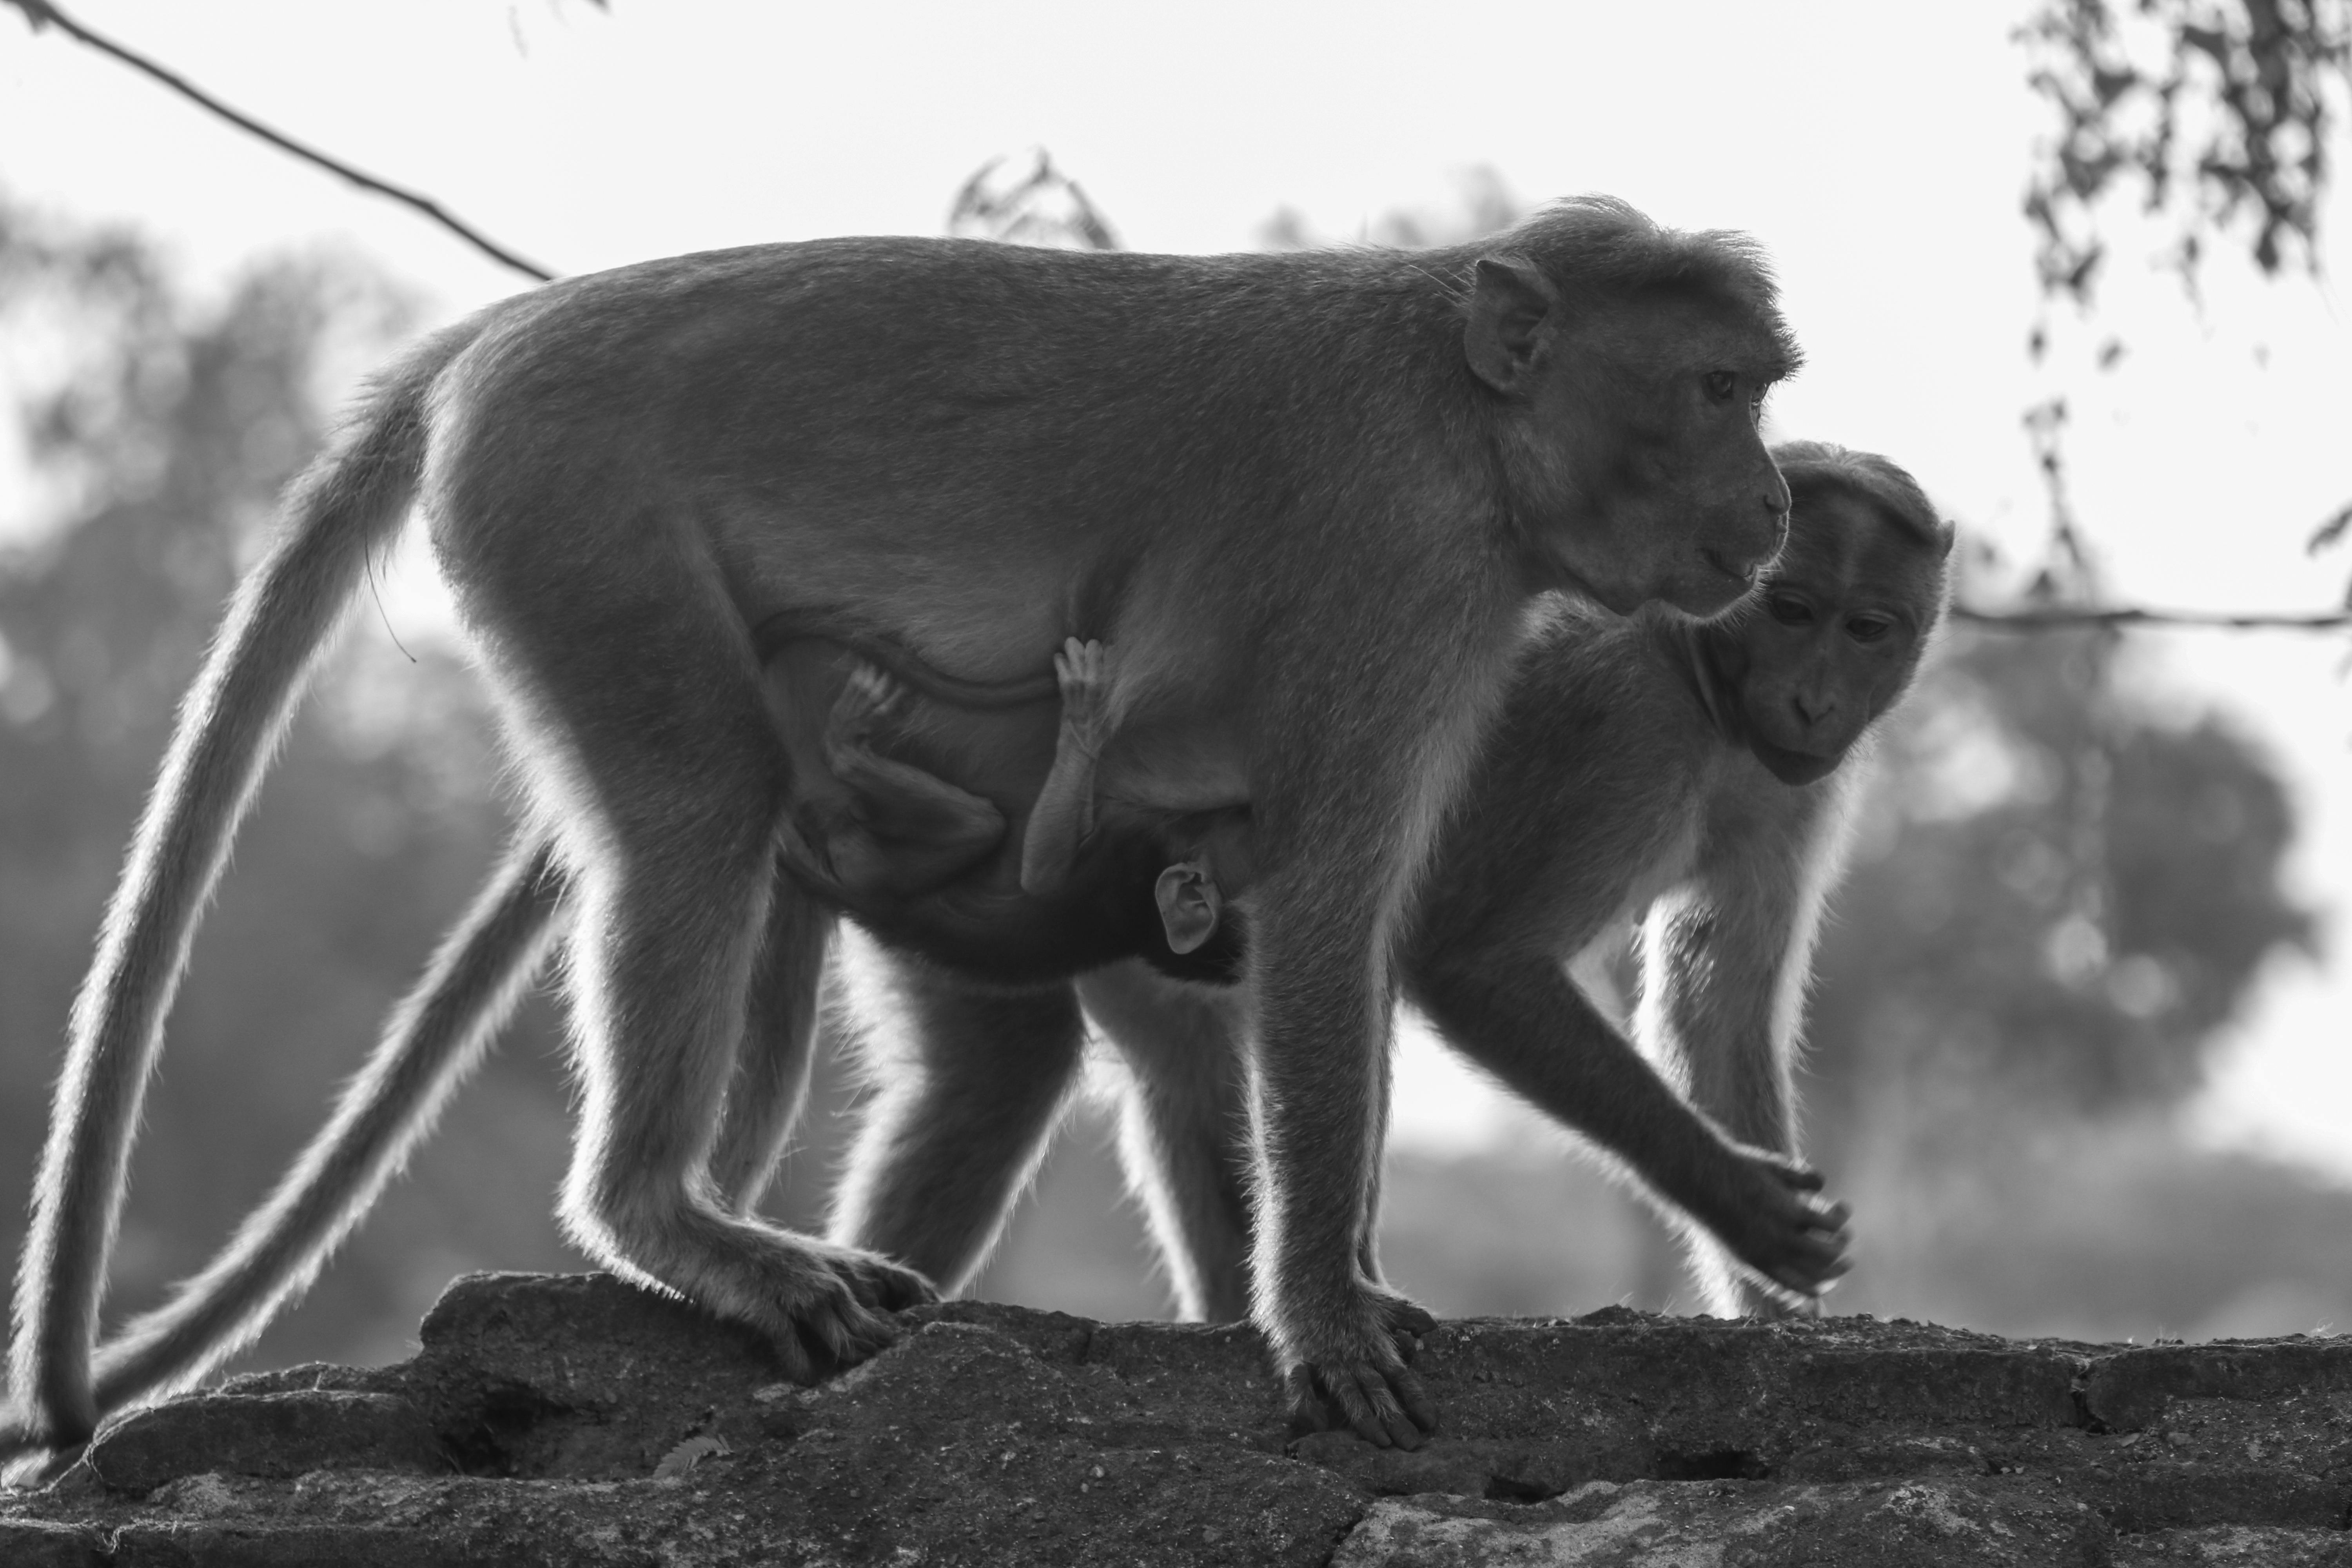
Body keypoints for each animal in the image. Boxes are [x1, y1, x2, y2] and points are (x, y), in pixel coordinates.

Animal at [4, 197, 1798, 1465]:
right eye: (1718, 389)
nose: (1779, 500)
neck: (1464, 417)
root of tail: (494, 334)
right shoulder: (1395, 573)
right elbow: (1334, 906)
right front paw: (1316, 1309)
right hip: (577, 525)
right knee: (695, 810)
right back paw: (665, 1220)